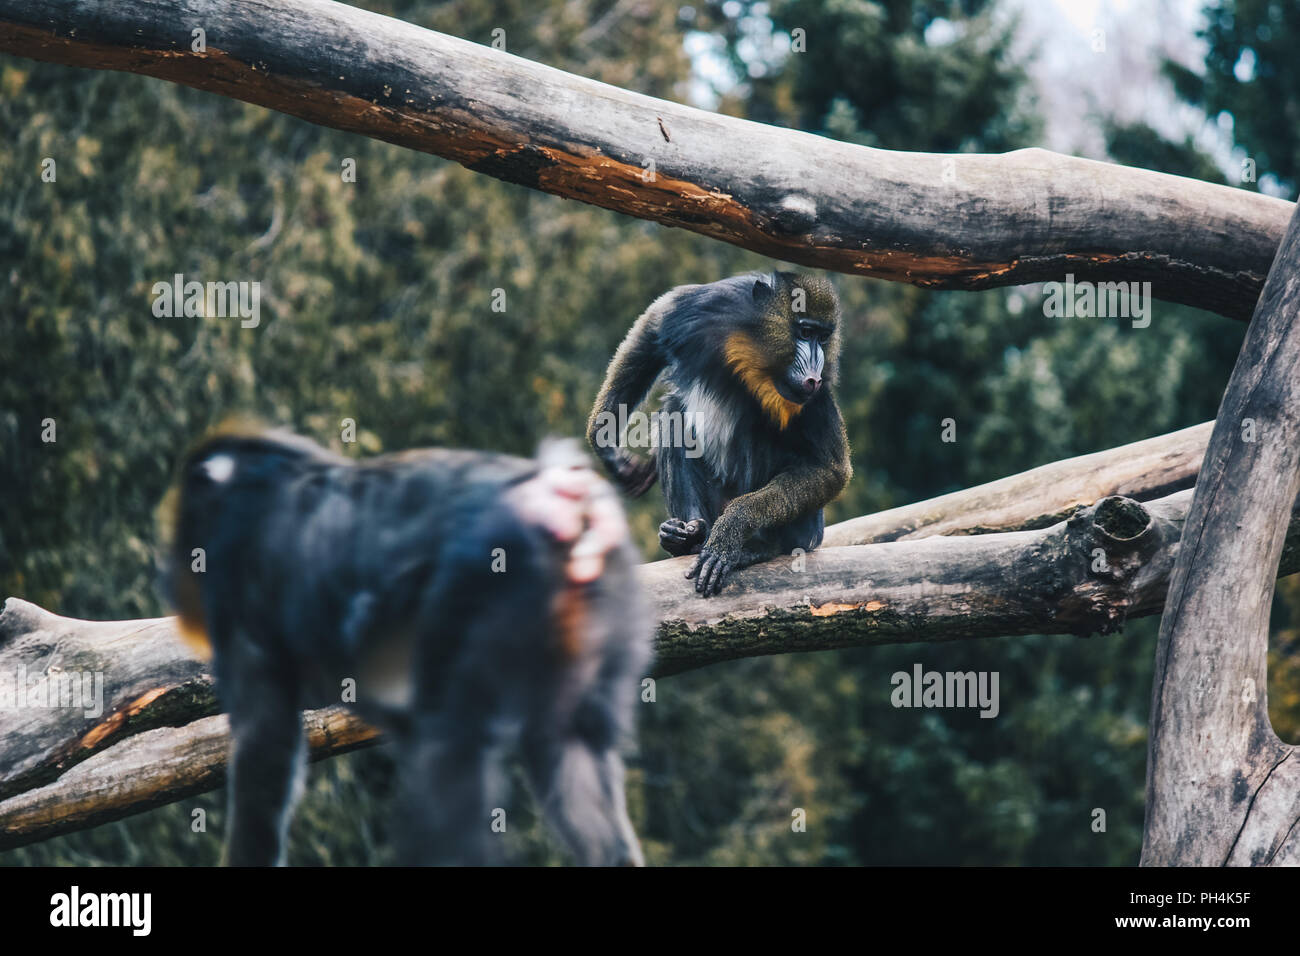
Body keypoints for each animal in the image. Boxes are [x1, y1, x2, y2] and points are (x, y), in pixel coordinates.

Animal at [587, 271, 851, 596]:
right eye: (804, 332)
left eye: (822, 338)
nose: (814, 375)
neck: (759, 353)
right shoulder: (715, 306)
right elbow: (656, 321)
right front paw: (605, 442)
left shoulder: (817, 399)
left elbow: (830, 468)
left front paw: (733, 527)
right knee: (675, 410)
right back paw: (687, 536)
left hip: (806, 531)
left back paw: (760, 546)